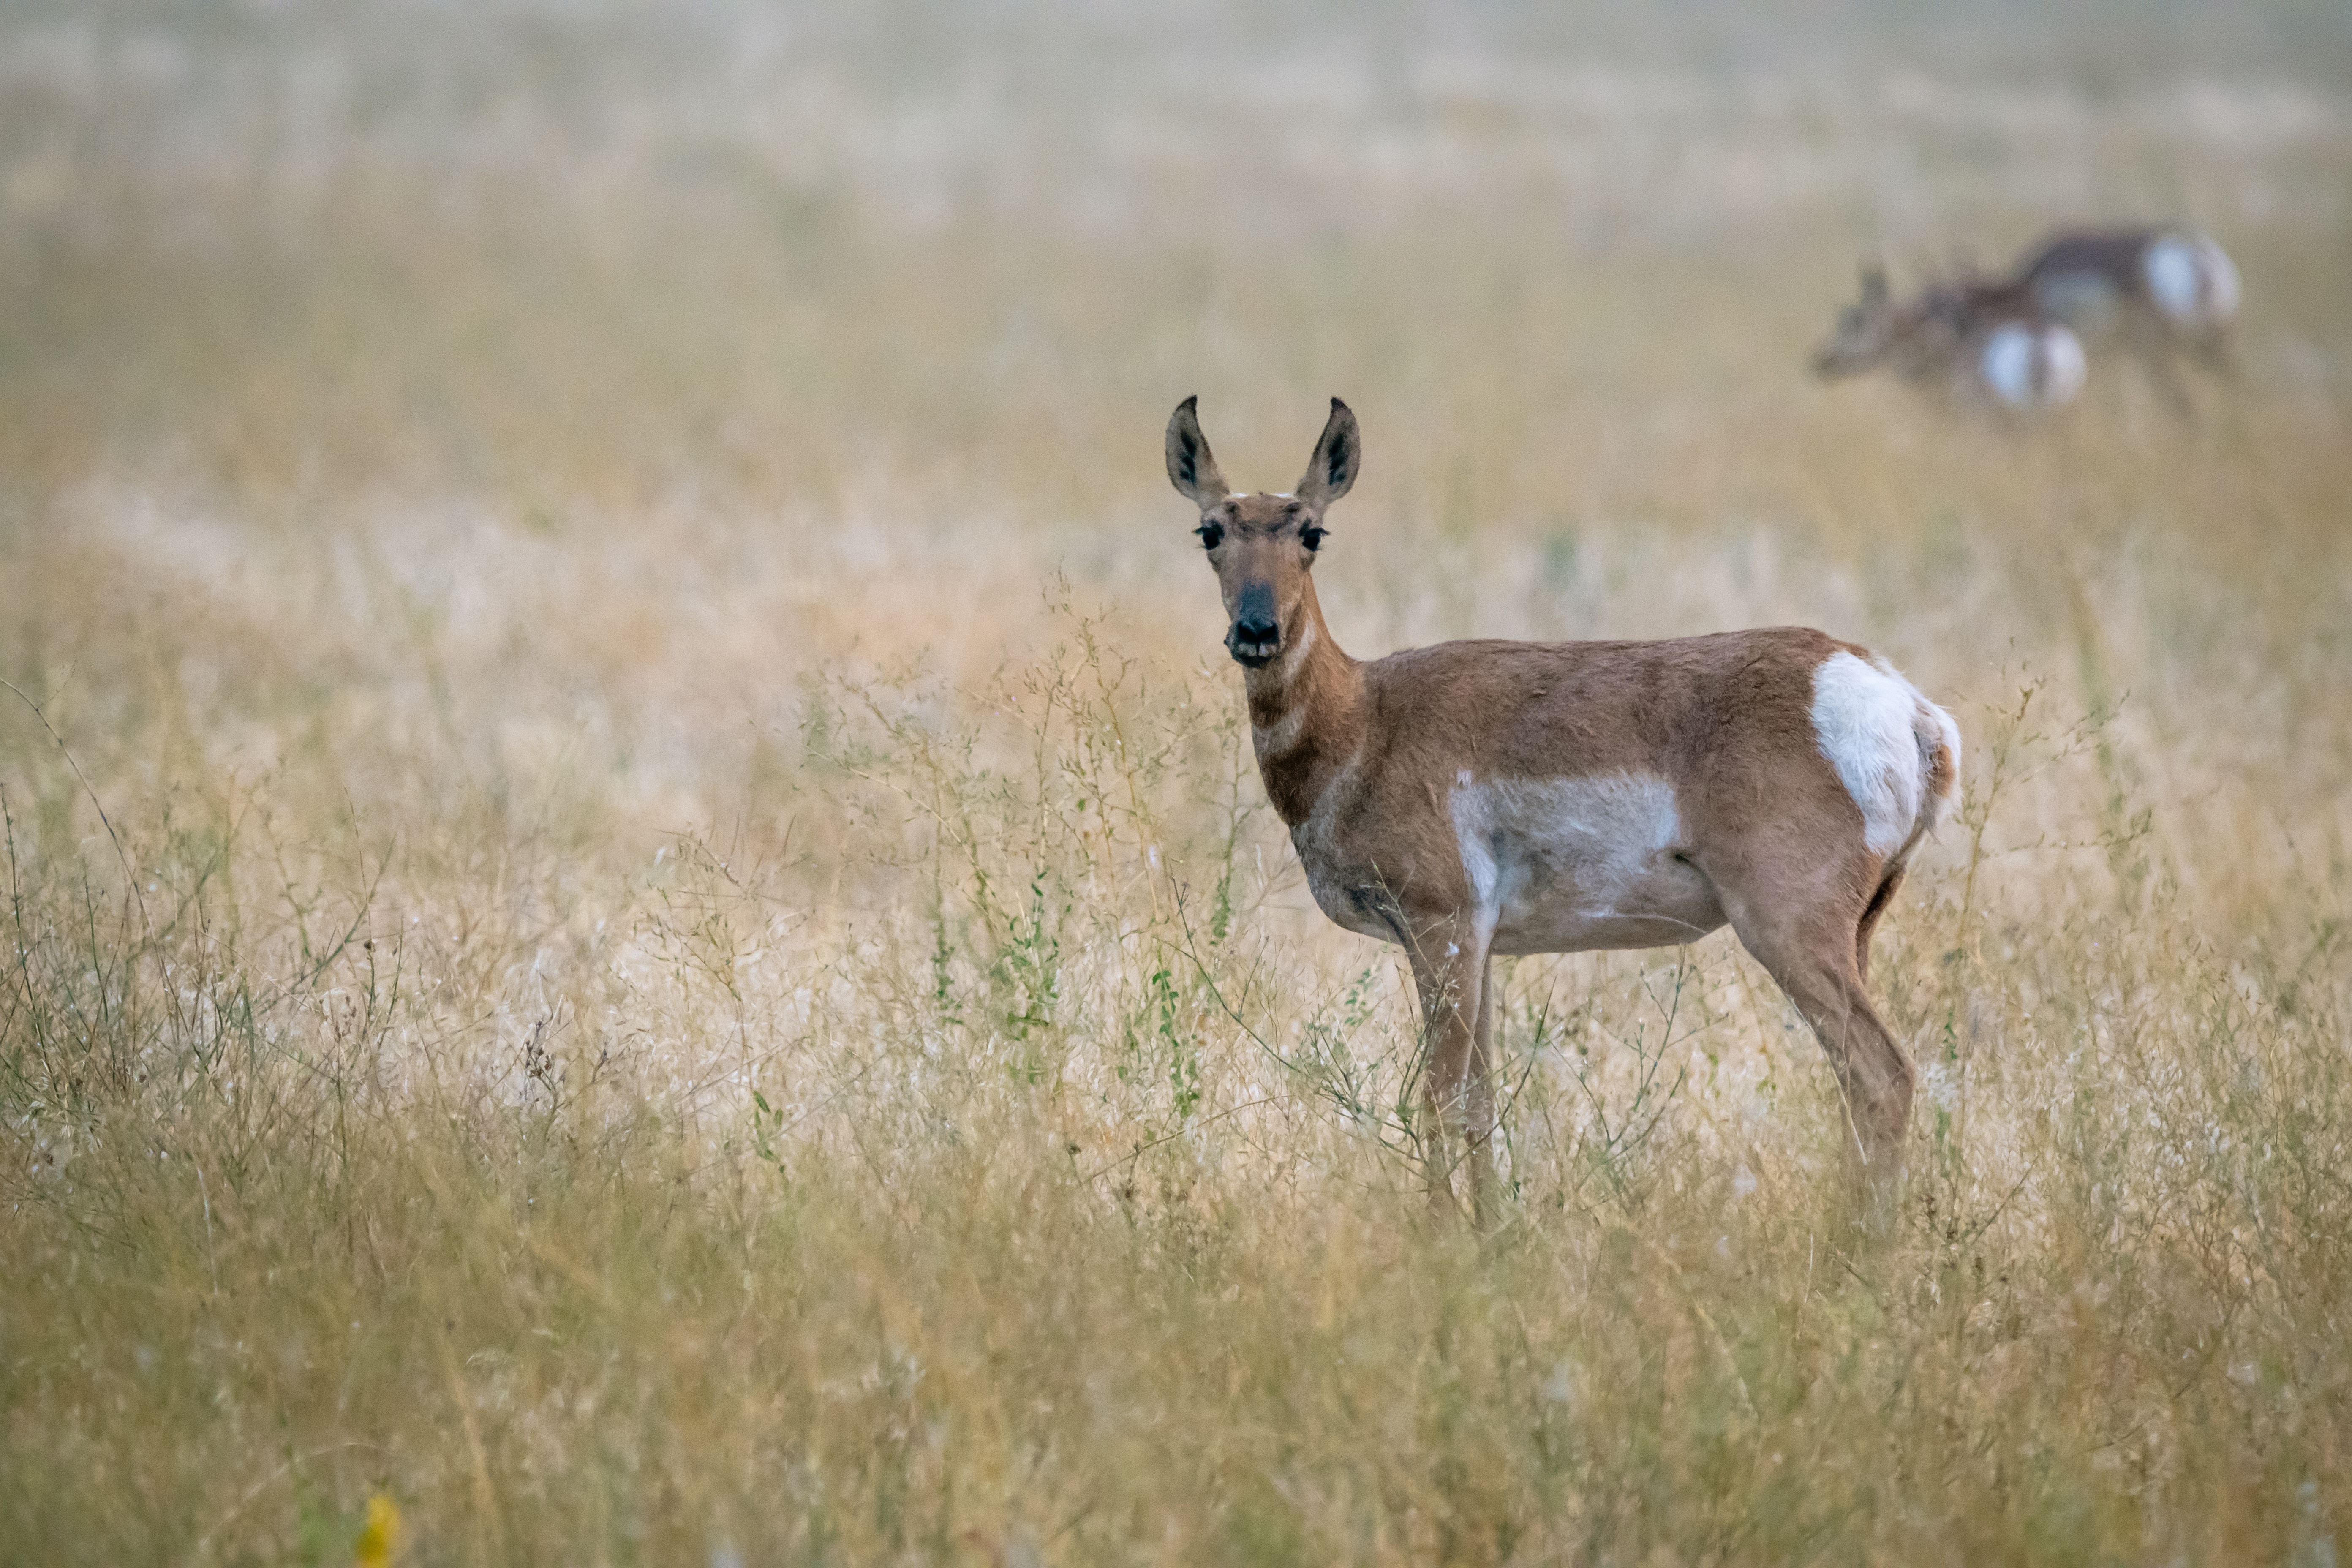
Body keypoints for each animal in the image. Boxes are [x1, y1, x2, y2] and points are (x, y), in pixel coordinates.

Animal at [1166, 396, 1961, 1223]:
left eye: (1311, 532)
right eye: (1211, 531)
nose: (1255, 631)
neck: (1366, 716)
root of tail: (1899, 701)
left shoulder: (1441, 931)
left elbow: (1438, 1099)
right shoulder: (1477, 948)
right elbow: (1480, 1104)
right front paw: (1486, 1237)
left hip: (1787, 931)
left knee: (1882, 1074)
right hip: (1854, 935)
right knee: (1854, 1087)